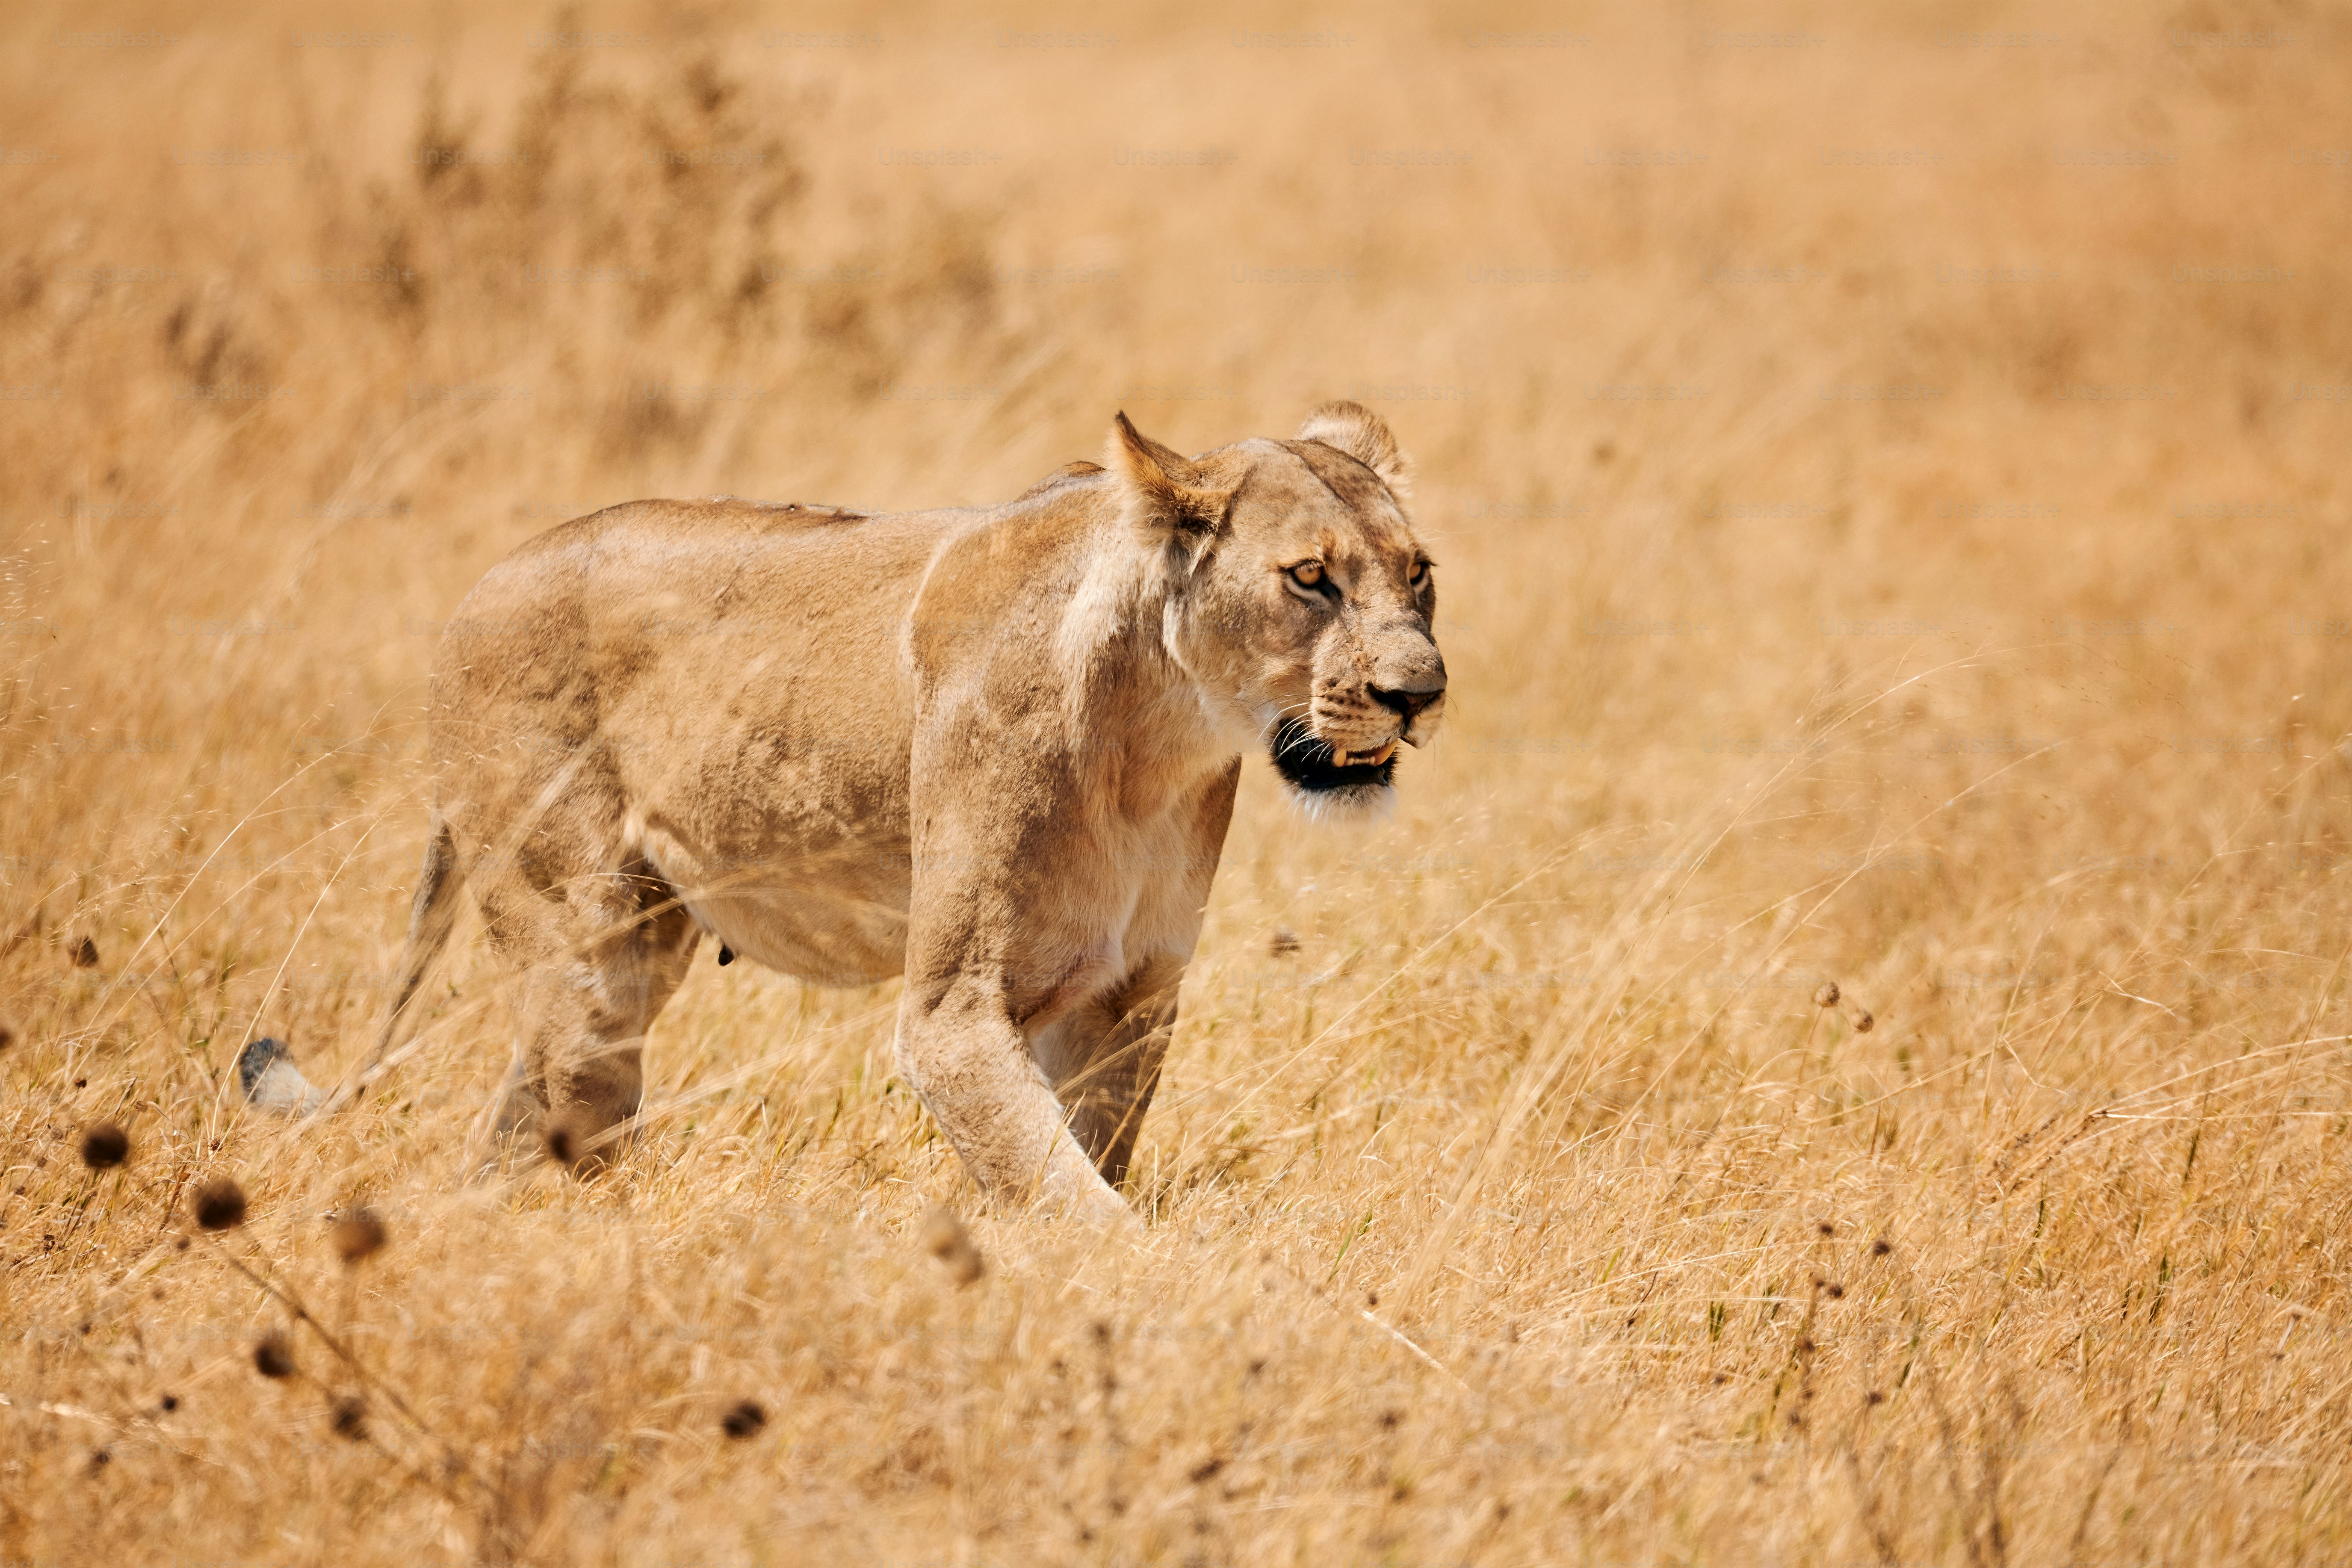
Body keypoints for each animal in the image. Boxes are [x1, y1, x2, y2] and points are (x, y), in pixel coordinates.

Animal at [241, 402, 1446, 1225]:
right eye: (1308, 577)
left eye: (1418, 573)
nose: (1419, 692)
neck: (1159, 738)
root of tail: (474, 590)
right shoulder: (954, 1009)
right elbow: (1071, 1197)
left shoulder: (1130, 995)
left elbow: (1082, 1157)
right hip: (580, 945)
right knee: (573, 1115)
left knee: (514, 1120)